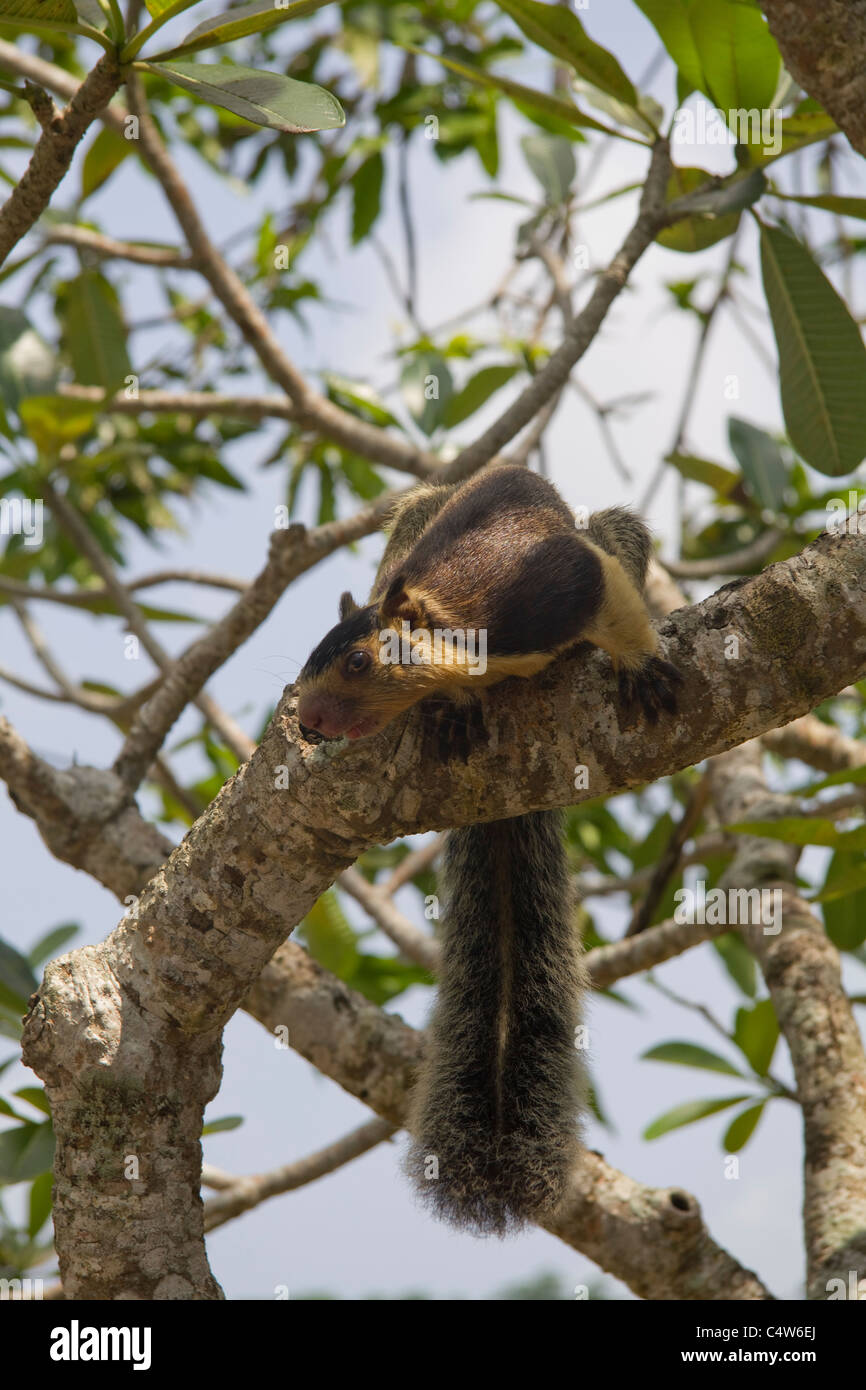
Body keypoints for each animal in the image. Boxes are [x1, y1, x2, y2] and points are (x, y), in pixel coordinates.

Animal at [296, 464, 681, 1235]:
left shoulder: (557, 586)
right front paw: (449, 709)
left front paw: (639, 662)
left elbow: (610, 594)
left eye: (359, 661)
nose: (307, 721)